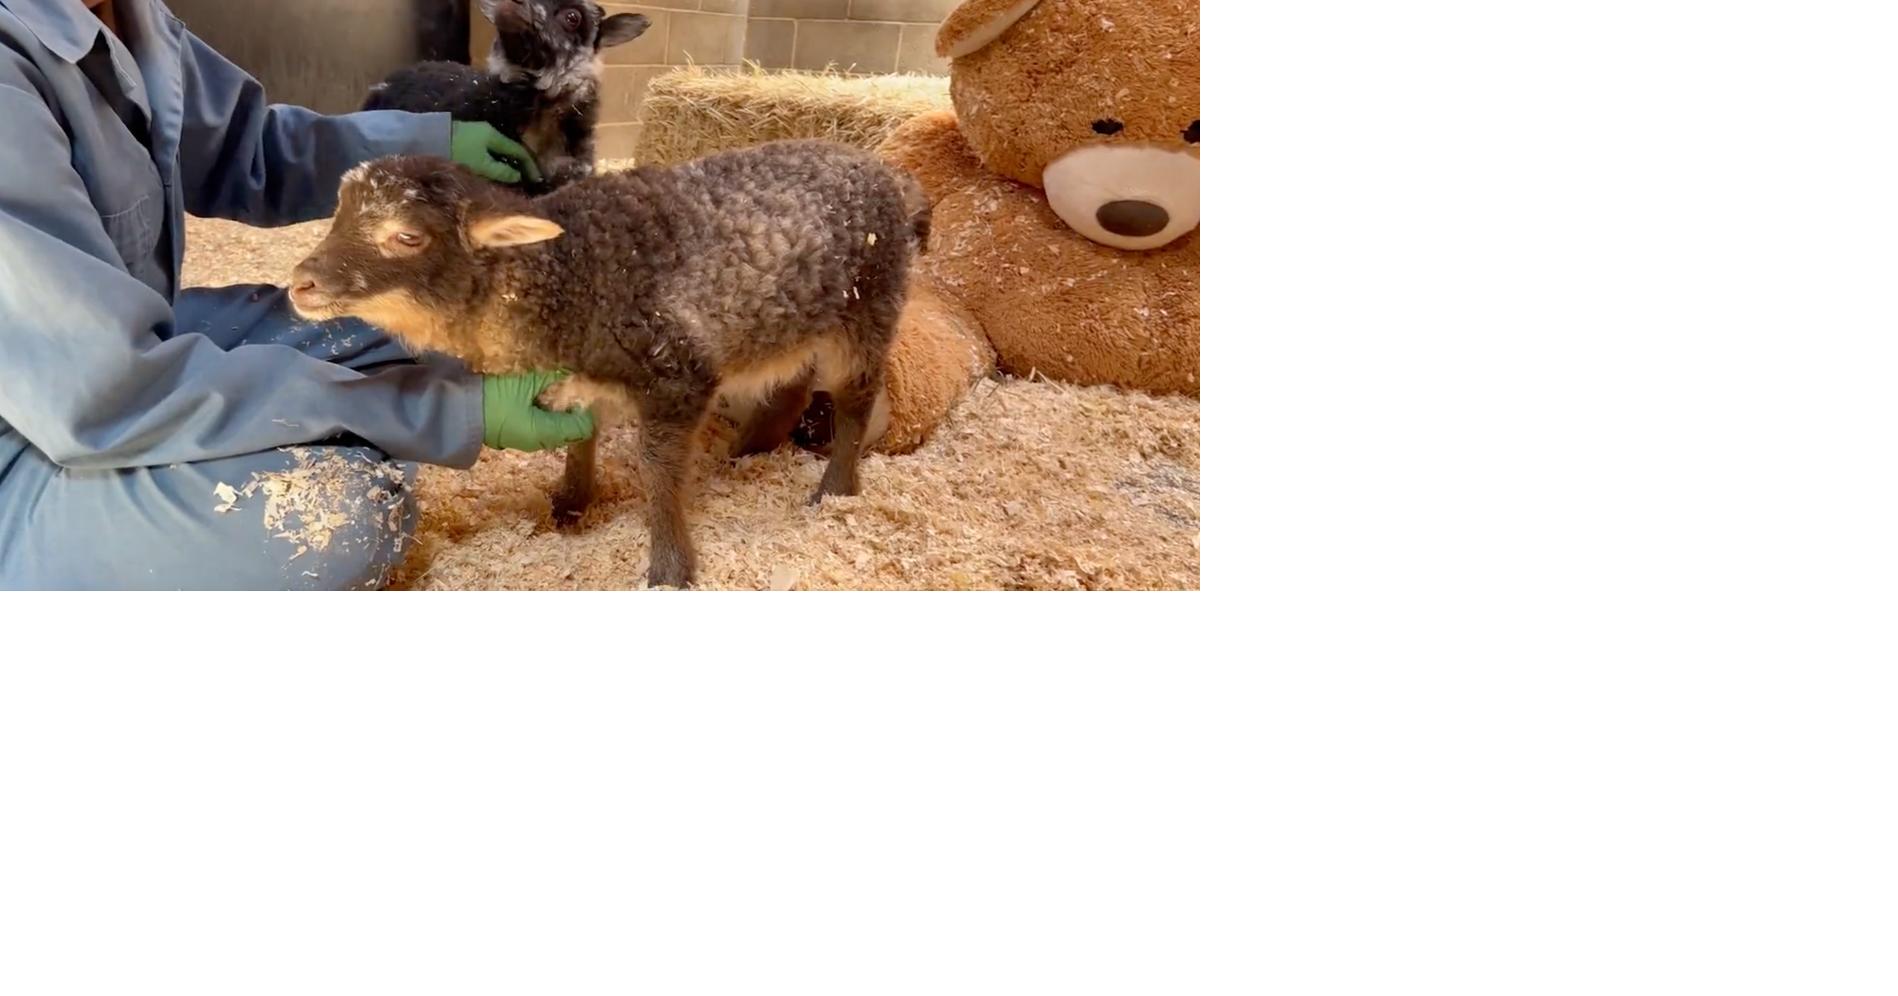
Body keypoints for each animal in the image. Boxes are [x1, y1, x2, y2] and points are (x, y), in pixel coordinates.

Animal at [286, 140, 931, 589]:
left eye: (407, 237)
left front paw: (670, 564)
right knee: (791, 387)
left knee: (855, 402)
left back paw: (836, 491)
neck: (570, 272)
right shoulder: (571, 381)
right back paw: (749, 450)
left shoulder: (676, 370)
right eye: (338, 217)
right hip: (790, 319)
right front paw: (572, 500)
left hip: (869, 309)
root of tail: (892, 176)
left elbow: (657, 467)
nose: (301, 283)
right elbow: (579, 436)